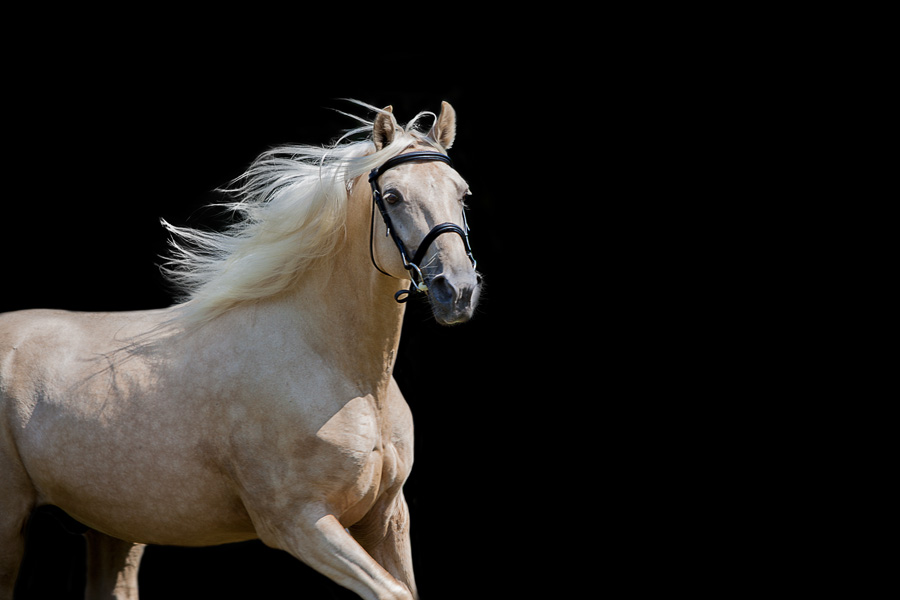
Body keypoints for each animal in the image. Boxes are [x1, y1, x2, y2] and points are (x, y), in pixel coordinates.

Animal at [0, 100, 481, 600]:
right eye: (393, 197)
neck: (347, 376)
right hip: (10, 528)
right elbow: (391, 592)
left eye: (463, 194)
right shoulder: (299, 522)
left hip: (112, 528)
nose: (457, 291)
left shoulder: (385, 517)